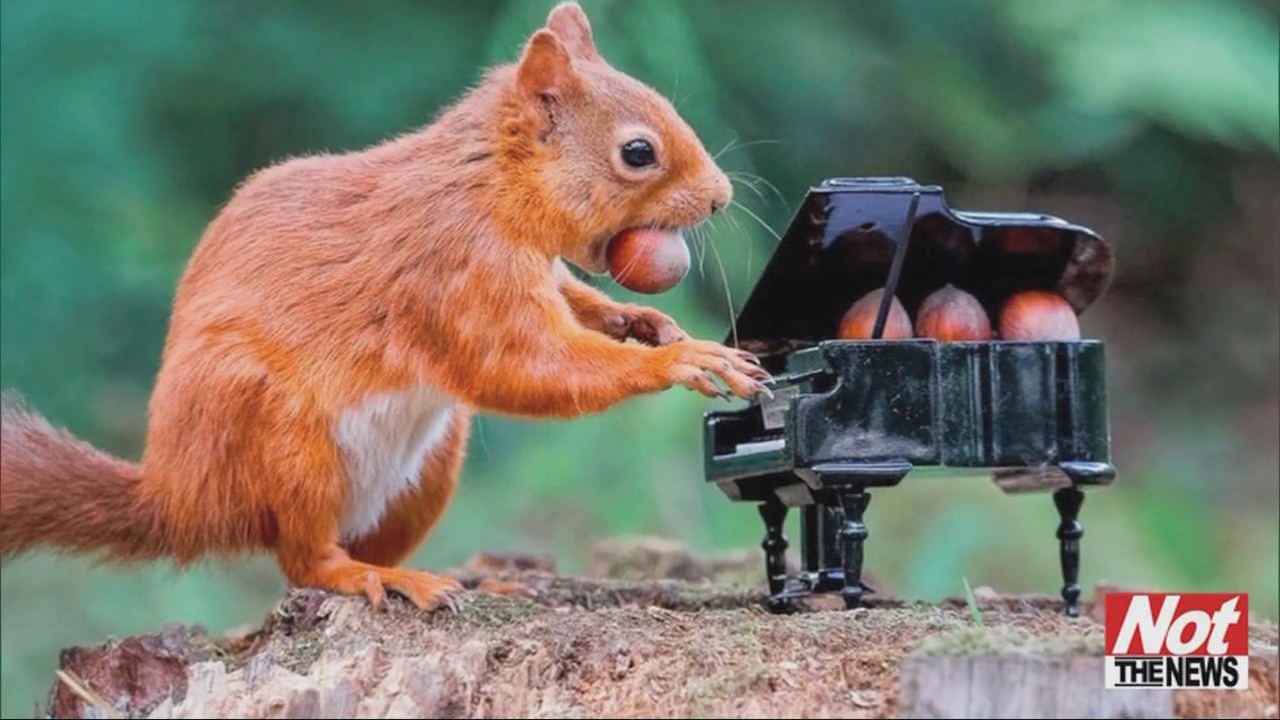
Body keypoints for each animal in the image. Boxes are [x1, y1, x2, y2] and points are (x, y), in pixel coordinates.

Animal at [0, 2, 770, 612]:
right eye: (637, 152)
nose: (721, 197)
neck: (491, 188)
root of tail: (177, 498)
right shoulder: (456, 269)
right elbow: (523, 366)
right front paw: (682, 358)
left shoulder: (537, 272)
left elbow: (571, 304)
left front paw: (646, 324)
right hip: (281, 438)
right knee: (306, 561)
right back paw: (382, 580)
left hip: (425, 469)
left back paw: (460, 577)